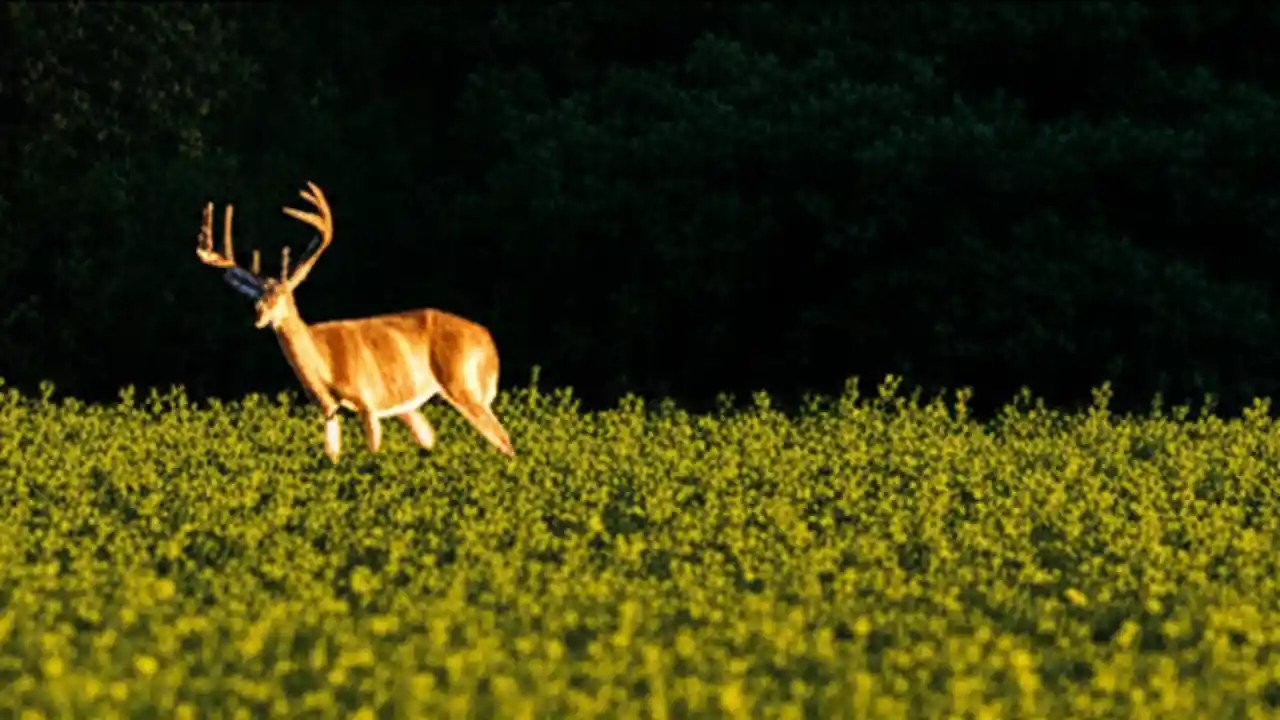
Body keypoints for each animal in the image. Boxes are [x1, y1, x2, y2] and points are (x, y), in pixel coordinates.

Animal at [195, 181, 515, 463]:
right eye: (258, 297)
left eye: (285, 295)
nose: (260, 316)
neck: (324, 365)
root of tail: (488, 340)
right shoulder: (327, 409)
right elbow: (332, 456)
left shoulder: (367, 400)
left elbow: (371, 452)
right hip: (417, 404)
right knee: (433, 438)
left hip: (464, 384)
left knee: (503, 440)